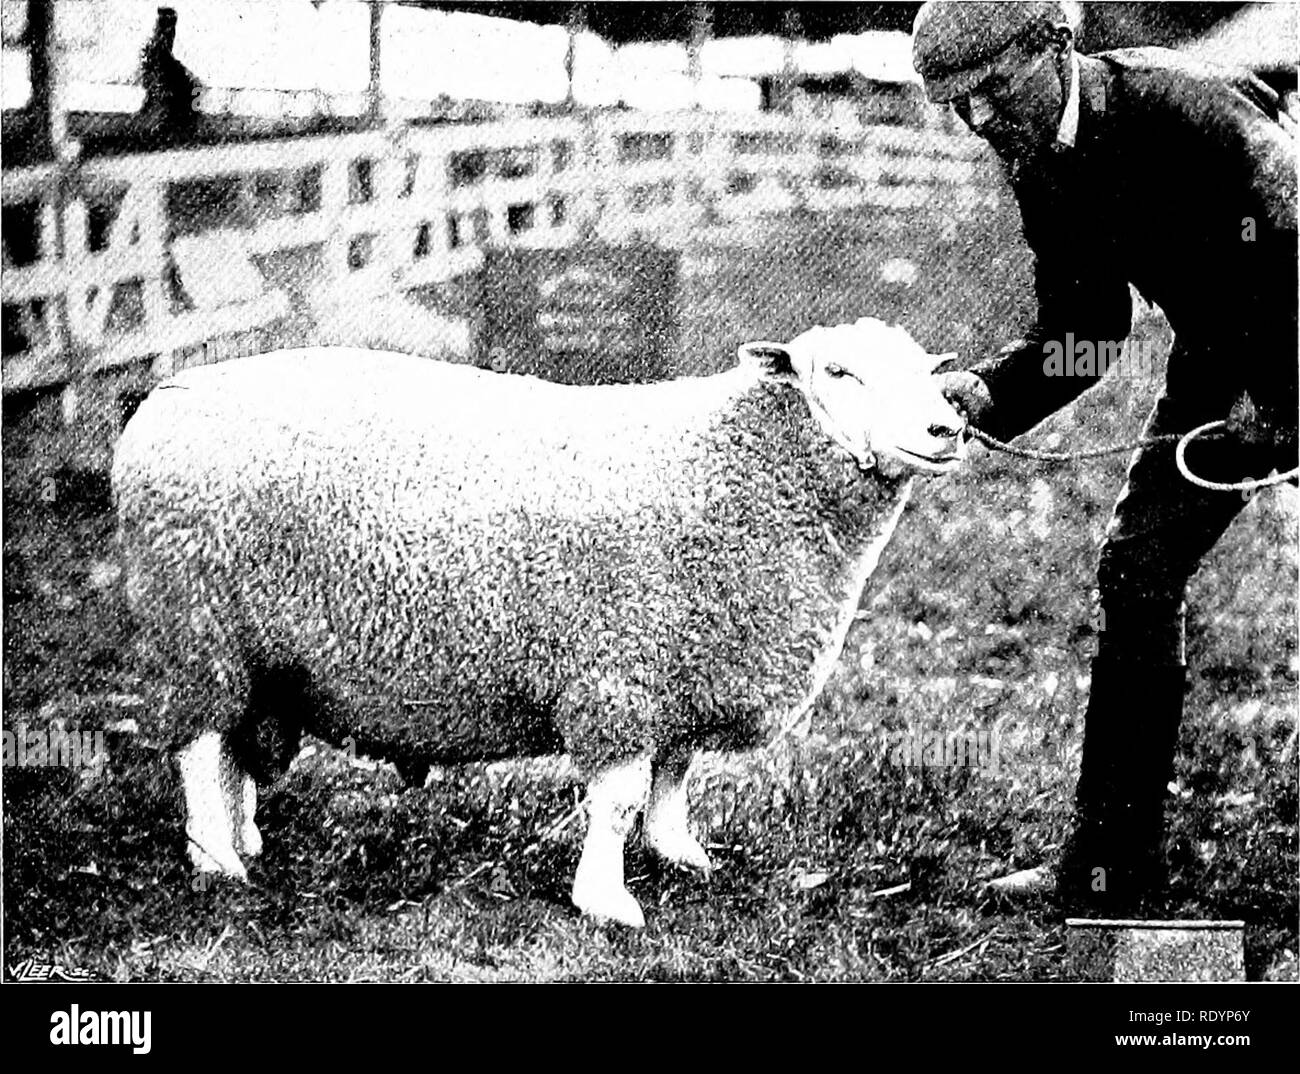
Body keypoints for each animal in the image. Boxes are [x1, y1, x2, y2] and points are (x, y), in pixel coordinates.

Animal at [111, 317, 967, 928]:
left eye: (929, 373)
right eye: (840, 372)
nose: (947, 430)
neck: (733, 465)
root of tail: (168, 393)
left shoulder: (681, 668)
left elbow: (675, 774)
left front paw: (680, 854)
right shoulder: (617, 674)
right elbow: (618, 800)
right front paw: (607, 902)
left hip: (251, 653)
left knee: (231, 746)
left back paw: (239, 839)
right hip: (195, 622)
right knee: (199, 748)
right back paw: (217, 862)